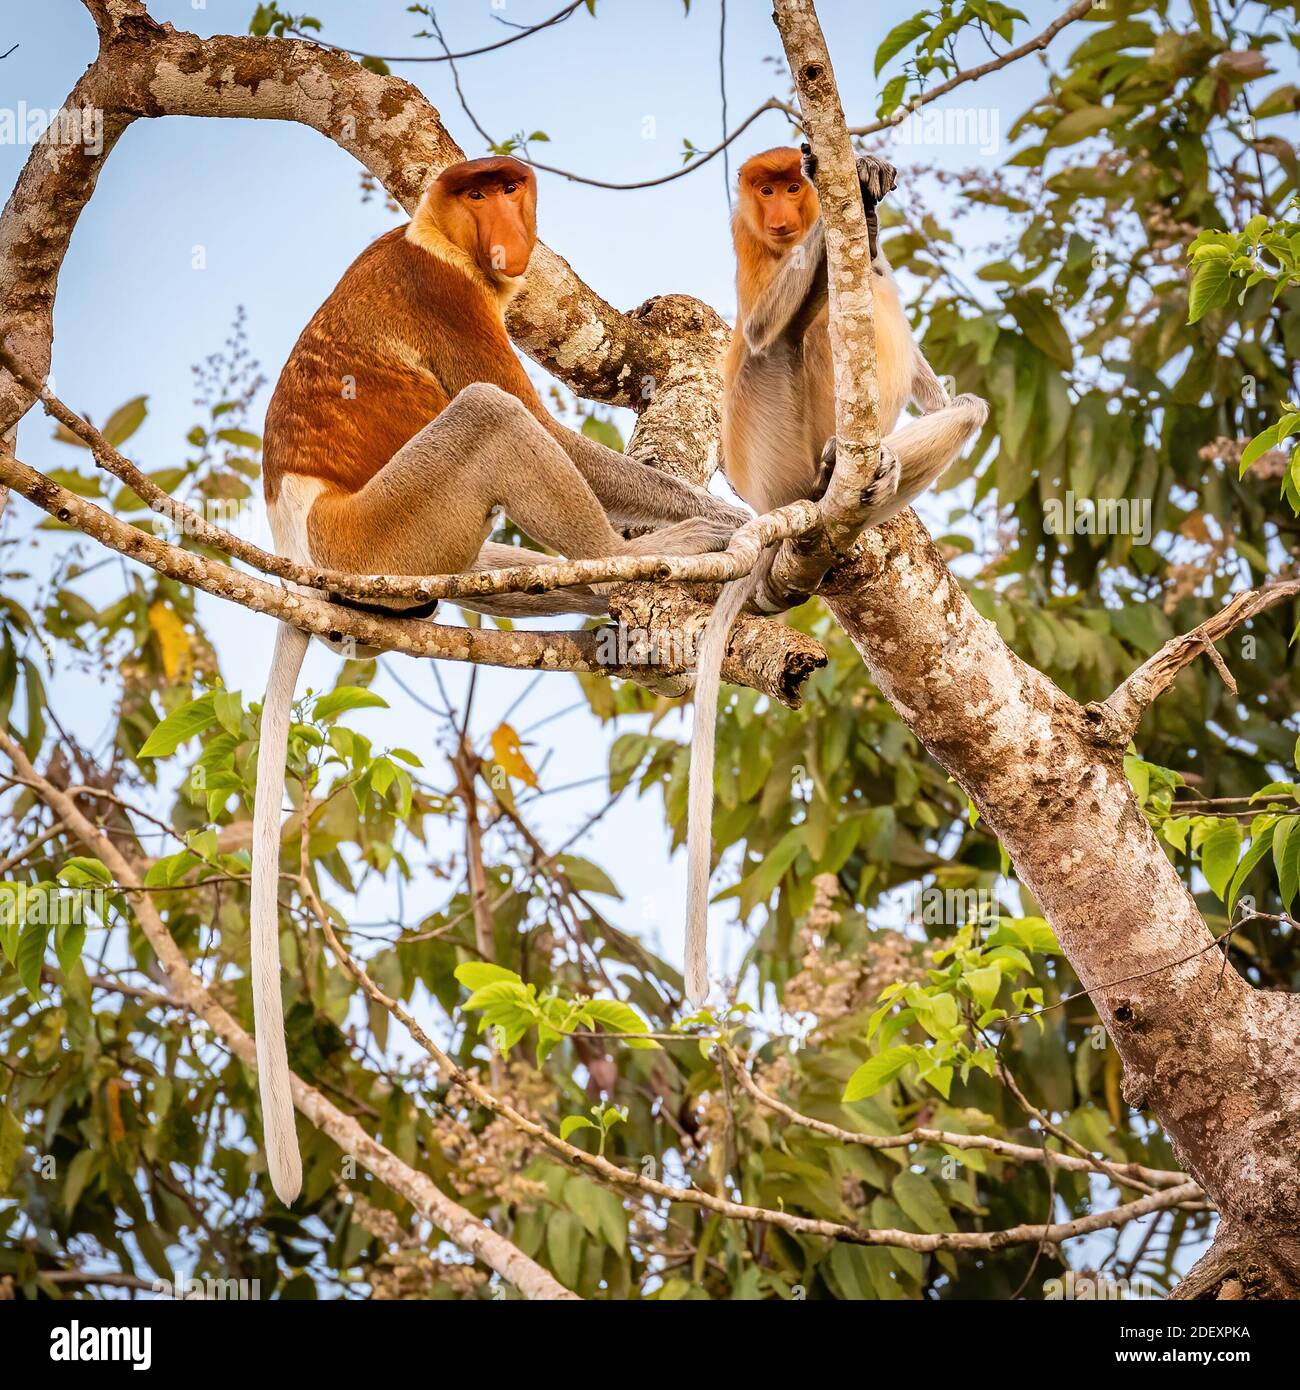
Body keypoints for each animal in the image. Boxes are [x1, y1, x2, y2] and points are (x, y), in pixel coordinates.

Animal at [253, 156, 748, 1203]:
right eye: (476, 192)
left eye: (511, 187)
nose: (508, 231)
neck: (435, 239)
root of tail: (300, 550)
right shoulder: (442, 296)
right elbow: (535, 419)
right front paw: (752, 518)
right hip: (385, 538)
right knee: (493, 420)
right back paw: (641, 562)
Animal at [682, 146, 990, 1004]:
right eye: (768, 187)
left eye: (791, 184)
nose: (789, 209)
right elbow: (759, 327)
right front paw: (855, 192)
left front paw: (868, 199)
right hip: (768, 442)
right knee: (793, 333)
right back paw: (828, 478)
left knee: (962, 402)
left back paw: (872, 479)